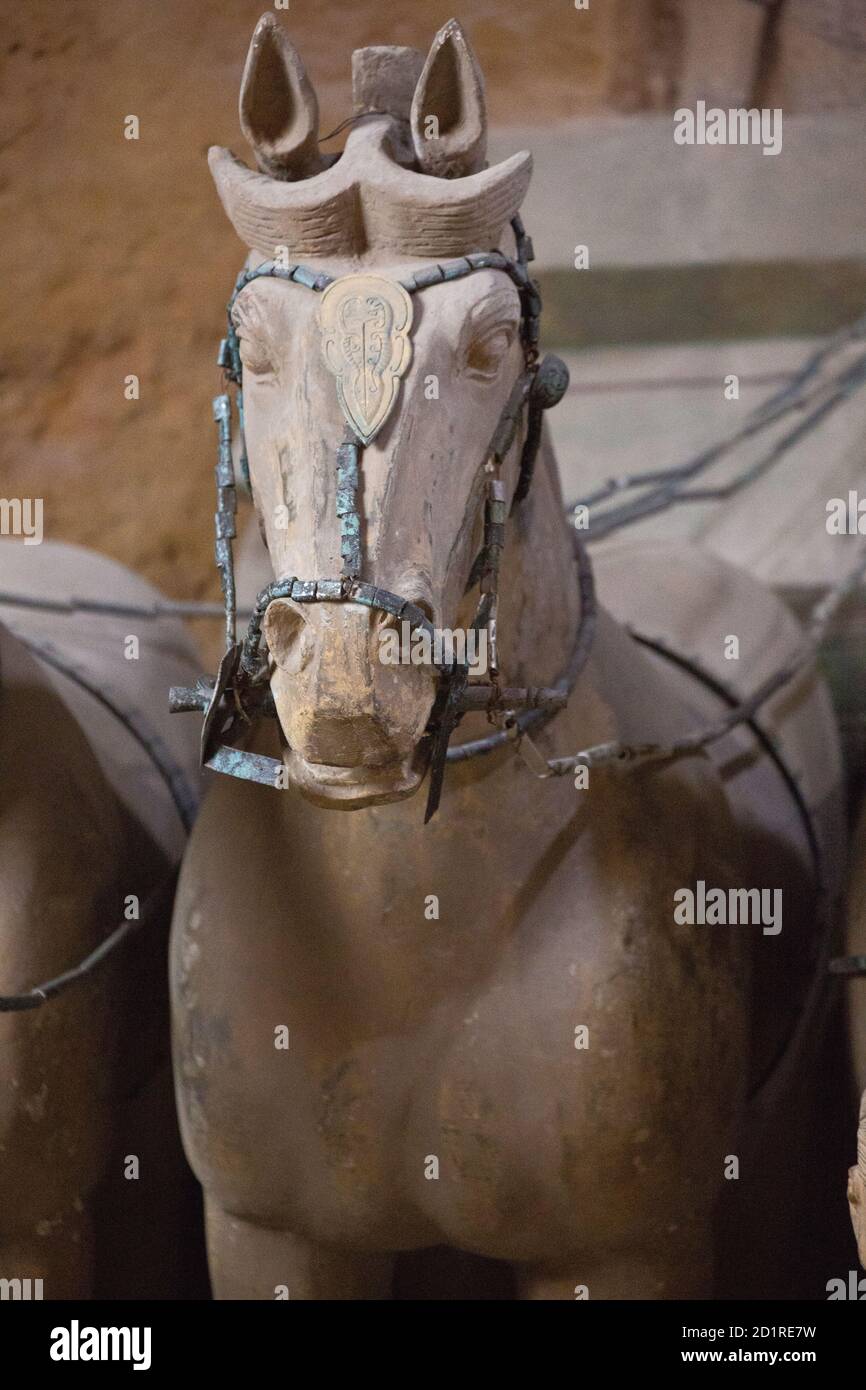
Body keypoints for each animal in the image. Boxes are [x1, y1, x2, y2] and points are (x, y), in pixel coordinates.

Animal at [170, 15, 850, 1299]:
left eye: (491, 341)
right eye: (251, 352)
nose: (348, 677)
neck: (409, 937)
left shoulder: (625, 1245)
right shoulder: (267, 1233)